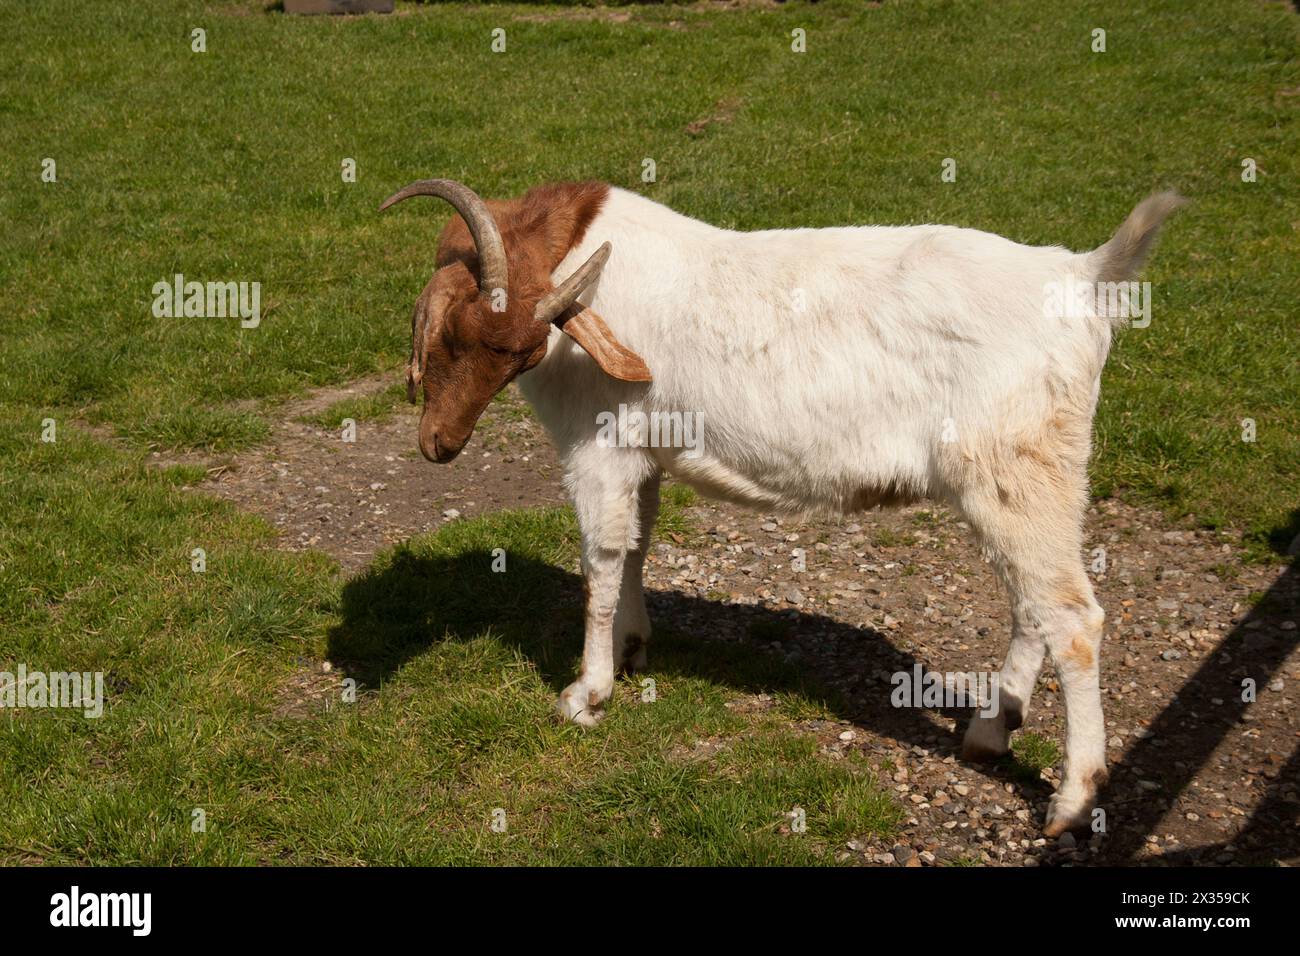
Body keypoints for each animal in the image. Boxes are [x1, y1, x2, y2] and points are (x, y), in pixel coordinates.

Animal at [380, 179, 1183, 835]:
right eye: (457, 332)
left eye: (504, 346)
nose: (439, 444)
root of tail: (1082, 276)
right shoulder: (646, 454)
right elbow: (638, 543)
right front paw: (635, 649)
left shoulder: (597, 449)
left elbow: (602, 560)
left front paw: (586, 693)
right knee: (1032, 605)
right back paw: (992, 729)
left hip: (1018, 472)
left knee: (1073, 618)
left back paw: (1071, 799)